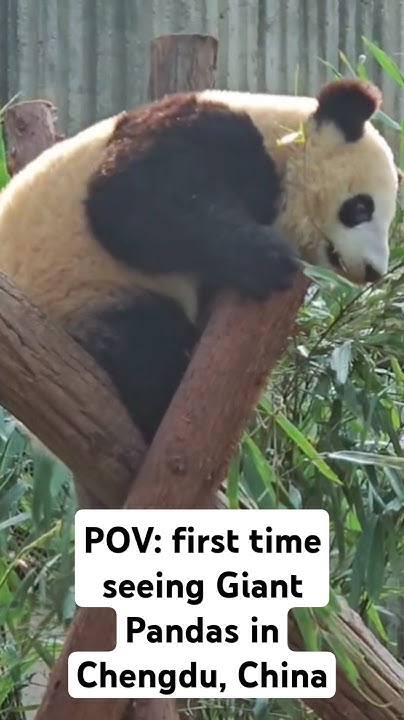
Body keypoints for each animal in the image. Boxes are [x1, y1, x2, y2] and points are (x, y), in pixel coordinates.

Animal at [0, 78, 399, 447]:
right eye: (361, 208)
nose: (374, 271)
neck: (282, 144)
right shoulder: (208, 133)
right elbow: (130, 201)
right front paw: (266, 259)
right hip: (83, 294)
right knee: (147, 344)